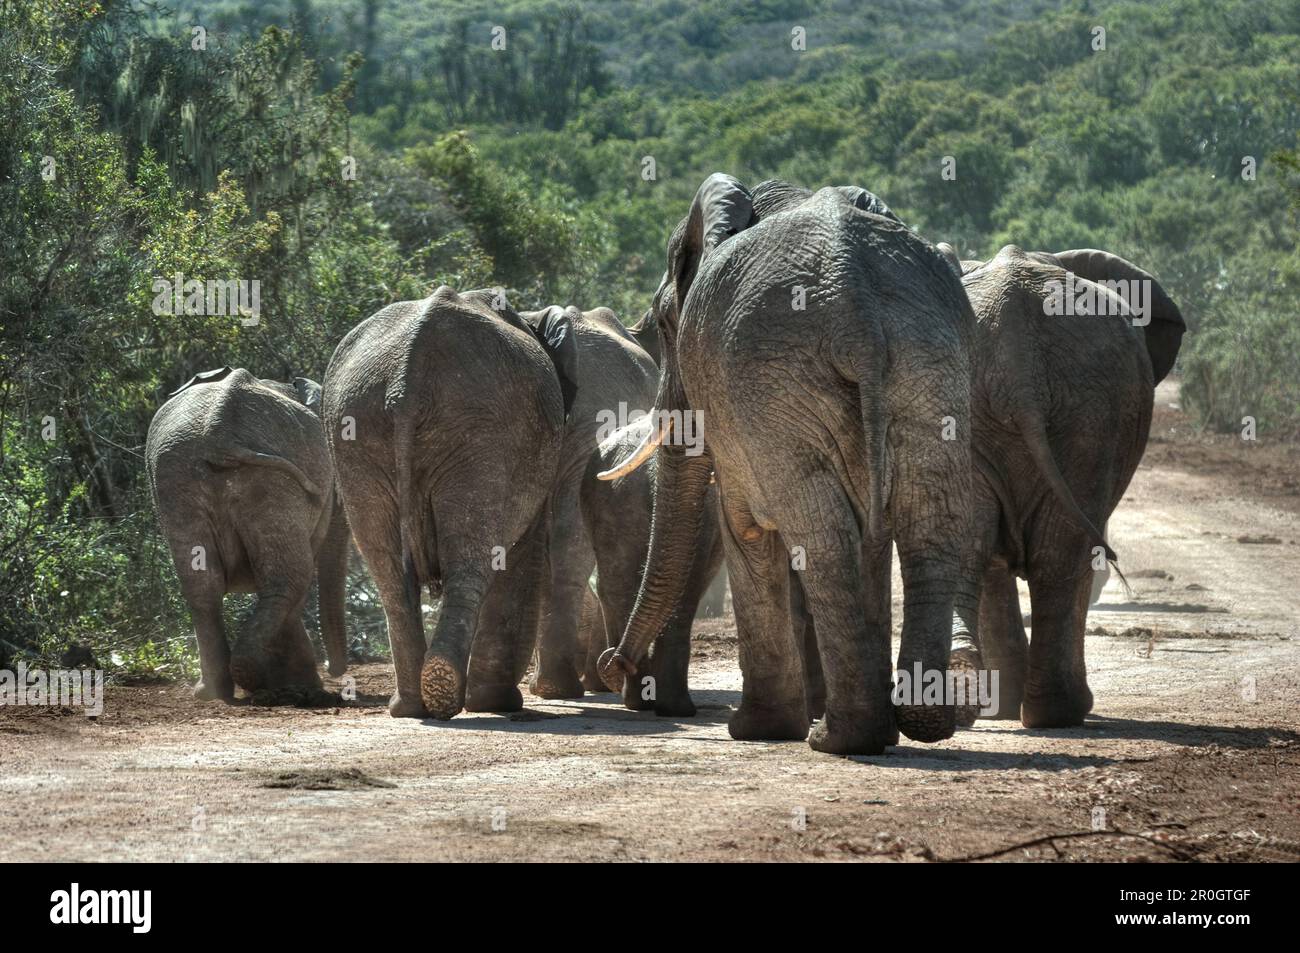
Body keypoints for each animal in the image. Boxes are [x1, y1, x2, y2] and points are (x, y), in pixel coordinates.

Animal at [146, 367, 349, 700]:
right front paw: (300, 684)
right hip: (271, 479)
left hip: (178, 476)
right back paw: (272, 683)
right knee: (292, 578)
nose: (336, 671)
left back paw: (215, 691)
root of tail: (218, 433)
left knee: (203, 586)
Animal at [322, 287, 578, 719]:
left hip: (359, 431)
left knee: (392, 574)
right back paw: (451, 694)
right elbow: (522, 558)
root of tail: (405, 382)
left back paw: (415, 703)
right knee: (473, 562)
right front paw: (496, 704)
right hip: (477, 429)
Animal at [598, 174, 976, 755]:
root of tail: (857, 306)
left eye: (664, 324)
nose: (612, 666)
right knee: (926, 523)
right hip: (929, 367)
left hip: (773, 383)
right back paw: (917, 723)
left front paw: (759, 730)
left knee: (822, 536)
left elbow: (745, 528)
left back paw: (838, 738)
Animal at [933, 243, 1185, 728]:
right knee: (1062, 554)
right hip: (1092, 405)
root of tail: (1013, 345)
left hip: (1080, 403)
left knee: (981, 543)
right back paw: (1061, 712)